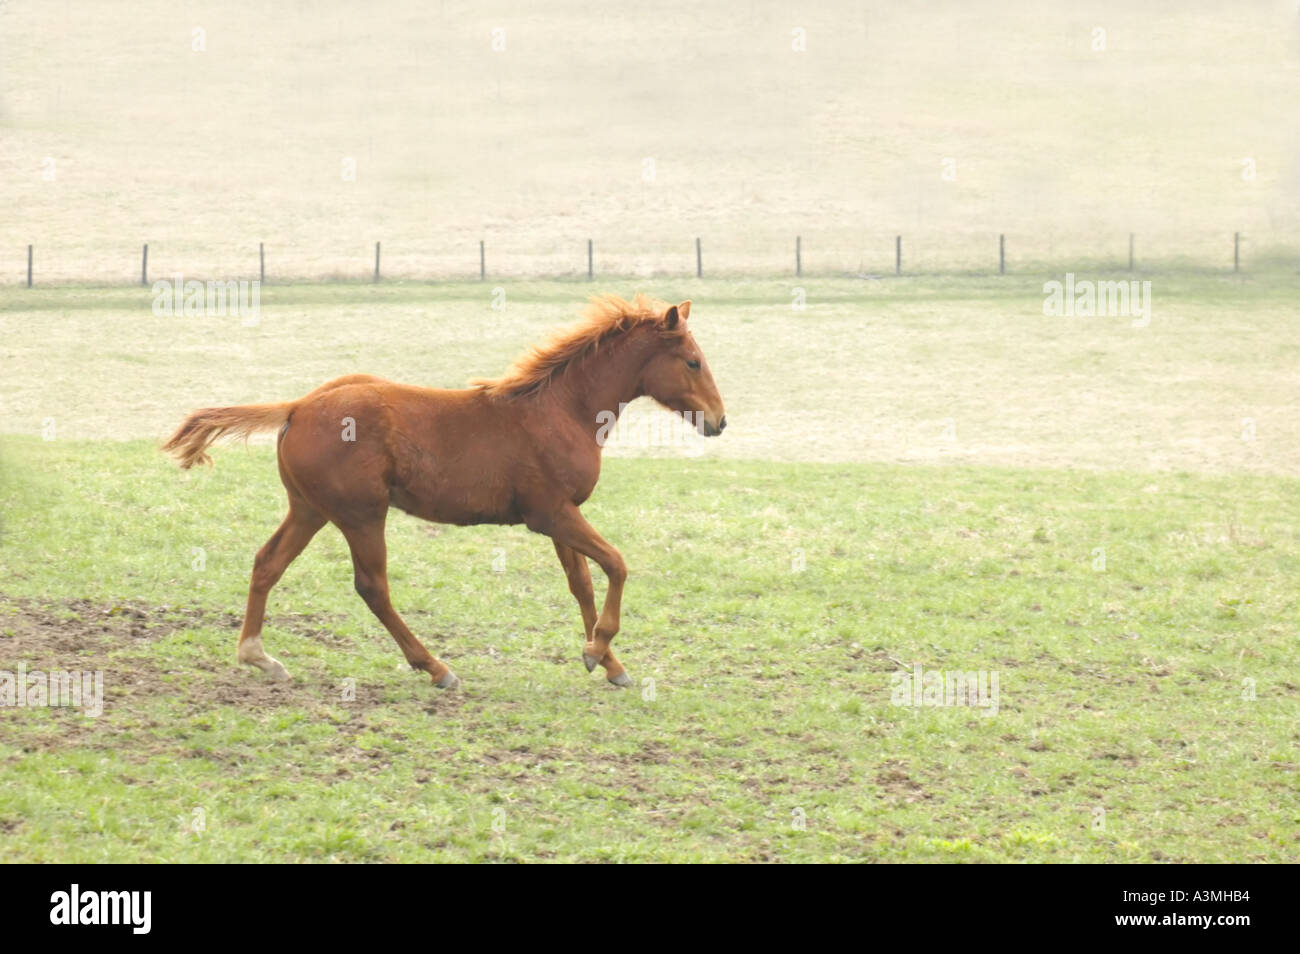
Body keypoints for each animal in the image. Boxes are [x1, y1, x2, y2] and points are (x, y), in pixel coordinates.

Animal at [162, 294, 727, 690]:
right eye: (693, 361)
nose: (719, 422)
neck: (563, 410)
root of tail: (297, 406)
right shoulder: (550, 514)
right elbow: (616, 564)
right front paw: (598, 650)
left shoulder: (562, 516)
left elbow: (583, 583)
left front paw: (606, 662)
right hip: (362, 515)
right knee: (372, 587)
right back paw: (435, 667)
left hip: (310, 509)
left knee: (267, 563)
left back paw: (259, 657)